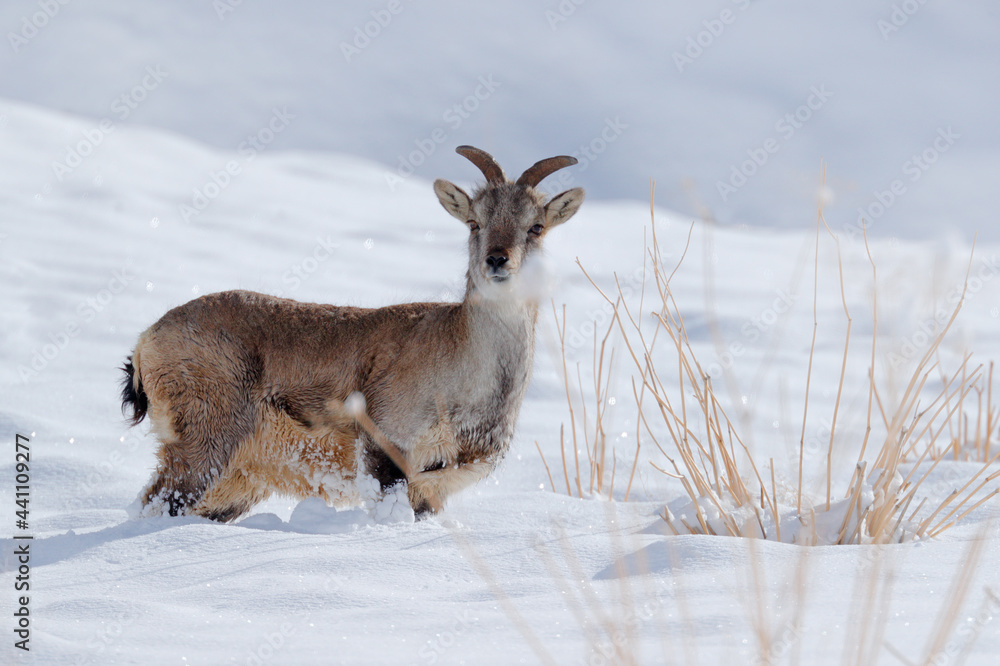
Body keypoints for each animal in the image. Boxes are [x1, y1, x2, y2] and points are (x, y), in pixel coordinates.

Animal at [120, 145, 584, 521]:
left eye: (536, 227)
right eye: (474, 221)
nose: (497, 260)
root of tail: (146, 342)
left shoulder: (437, 482)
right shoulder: (386, 444)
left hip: (236, 482)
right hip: (204, 440)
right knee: (157, 503)